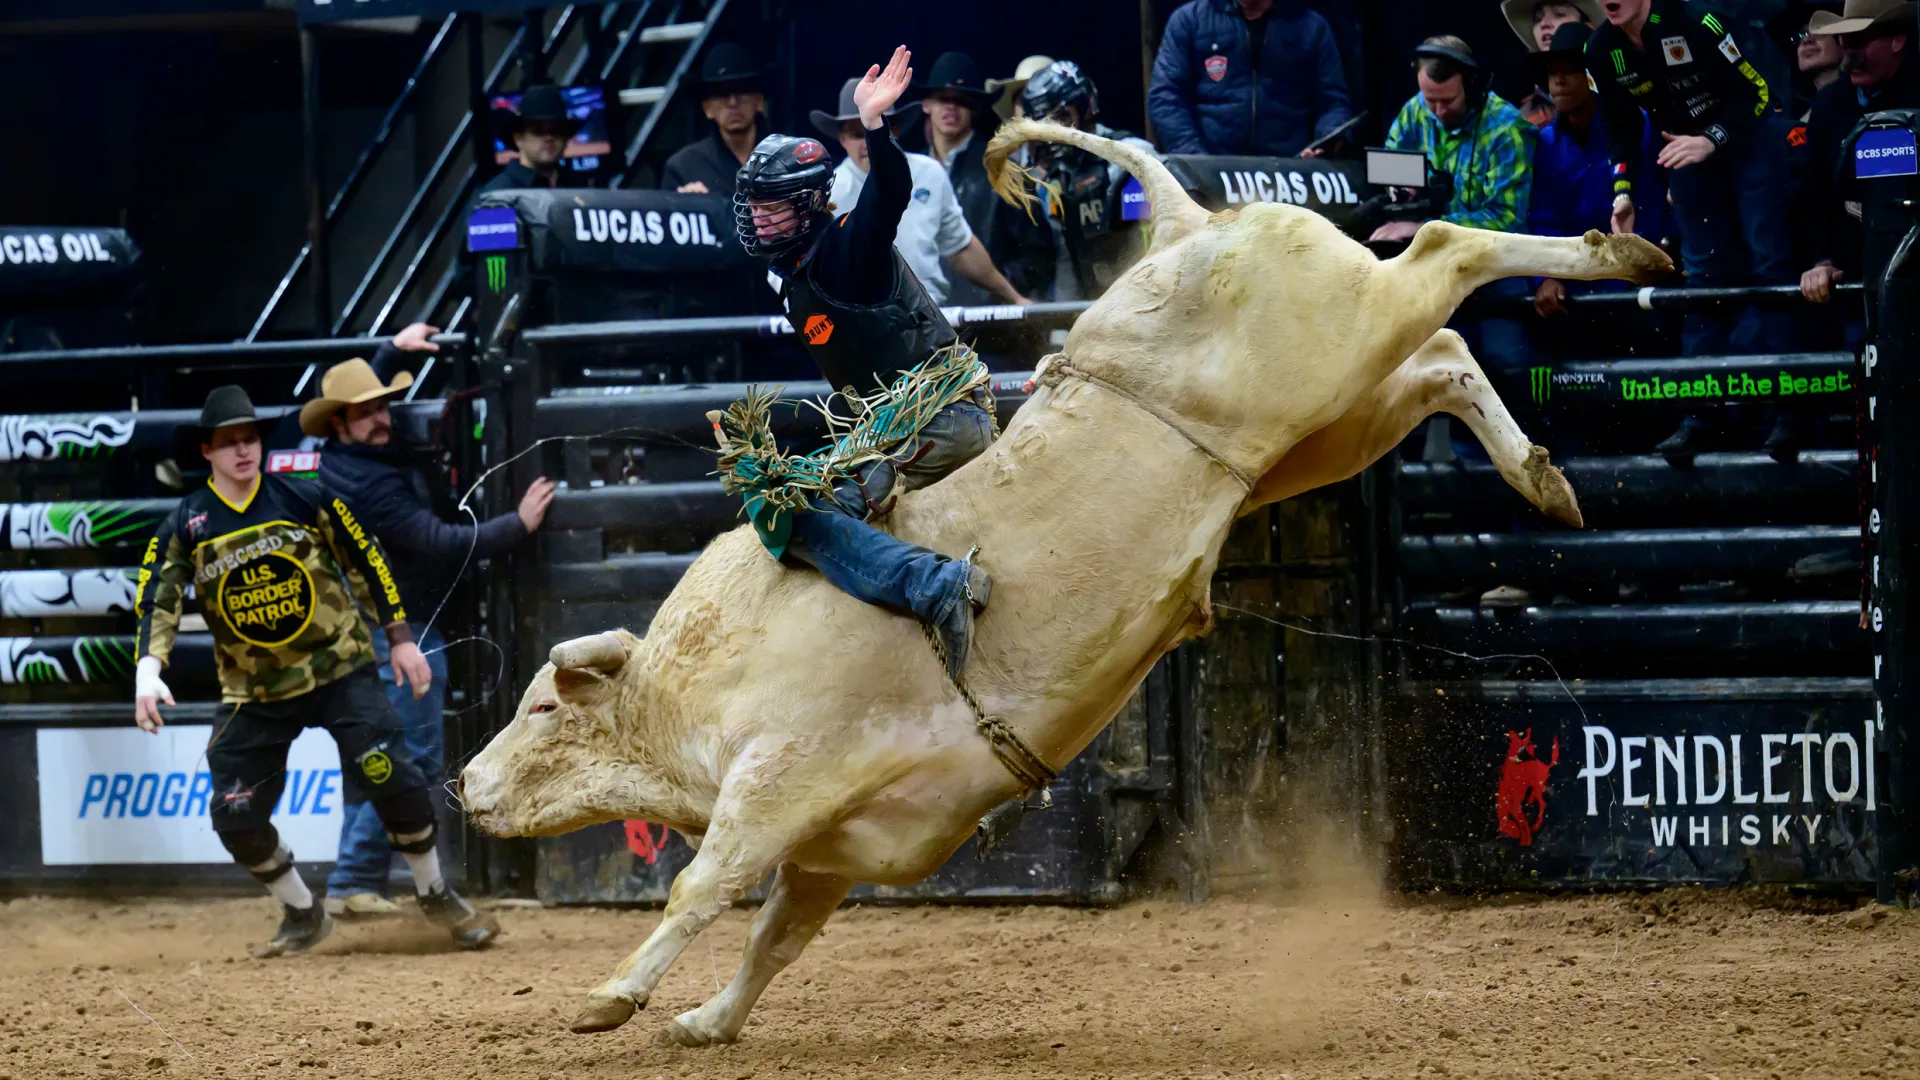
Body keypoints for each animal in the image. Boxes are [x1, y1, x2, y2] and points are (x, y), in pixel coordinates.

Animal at [458, 117, 1669, 1046]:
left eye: (538, 709)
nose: (465, 785)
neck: (686, 690)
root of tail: (1185, 224)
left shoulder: (777, 780)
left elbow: (703, 885)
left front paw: (612, 996)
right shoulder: (835, 848)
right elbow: (776, 936)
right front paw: (707, 1020)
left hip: (1341, 333)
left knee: (1447, 247)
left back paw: (1626, 253)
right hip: (1326, 422)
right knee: (1446, 358)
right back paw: (1547, 476)